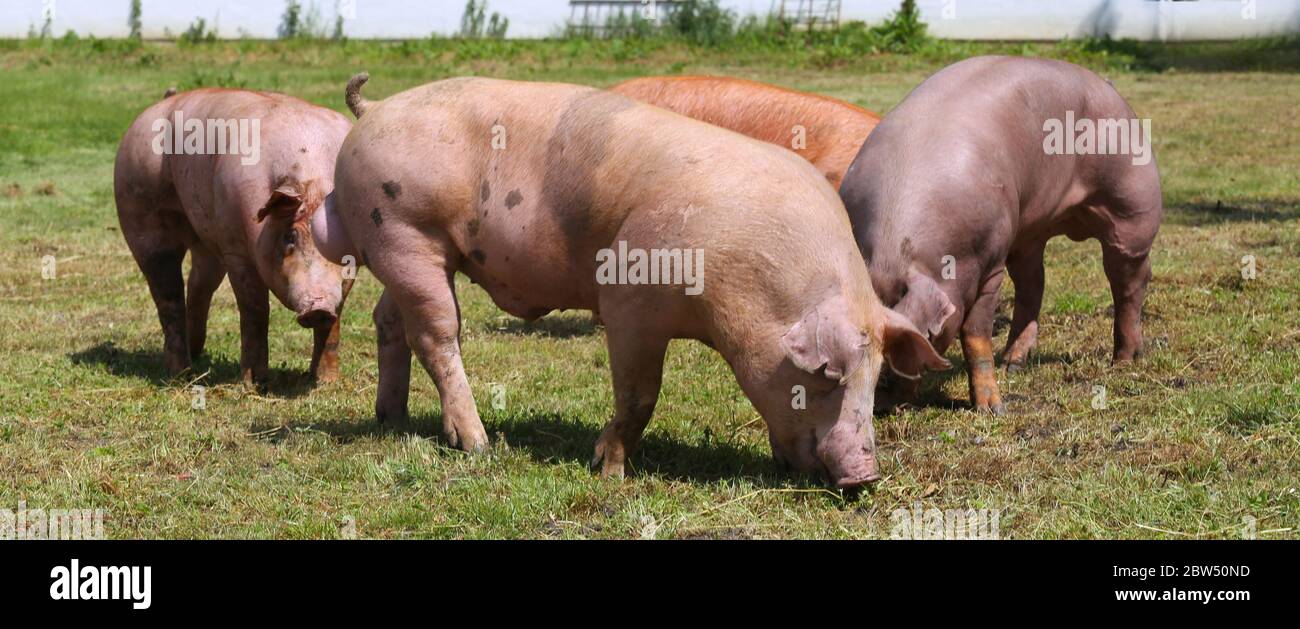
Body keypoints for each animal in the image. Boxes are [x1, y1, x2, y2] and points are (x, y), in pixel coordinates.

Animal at [114, 87, 353, 385]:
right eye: (290, 237)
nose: (319, 308)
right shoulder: (236, 248)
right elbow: (255, 309)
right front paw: (255, 384)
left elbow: (337, 317)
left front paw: (326, 381)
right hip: (140, 213)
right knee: (168, 296)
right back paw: (180, 374)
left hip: (205, 241)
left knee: (198, 286)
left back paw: (197, 354)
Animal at [839, 56, 1163, 413]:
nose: (878, 401)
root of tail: (1109, 88)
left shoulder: (989, 263)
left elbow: (975, 334)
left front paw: (991, 409)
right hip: (1027, 233)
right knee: (1033, 284)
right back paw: (1013, 363)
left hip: (1133, 208)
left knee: (1130, 280)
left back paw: (1124, 360)